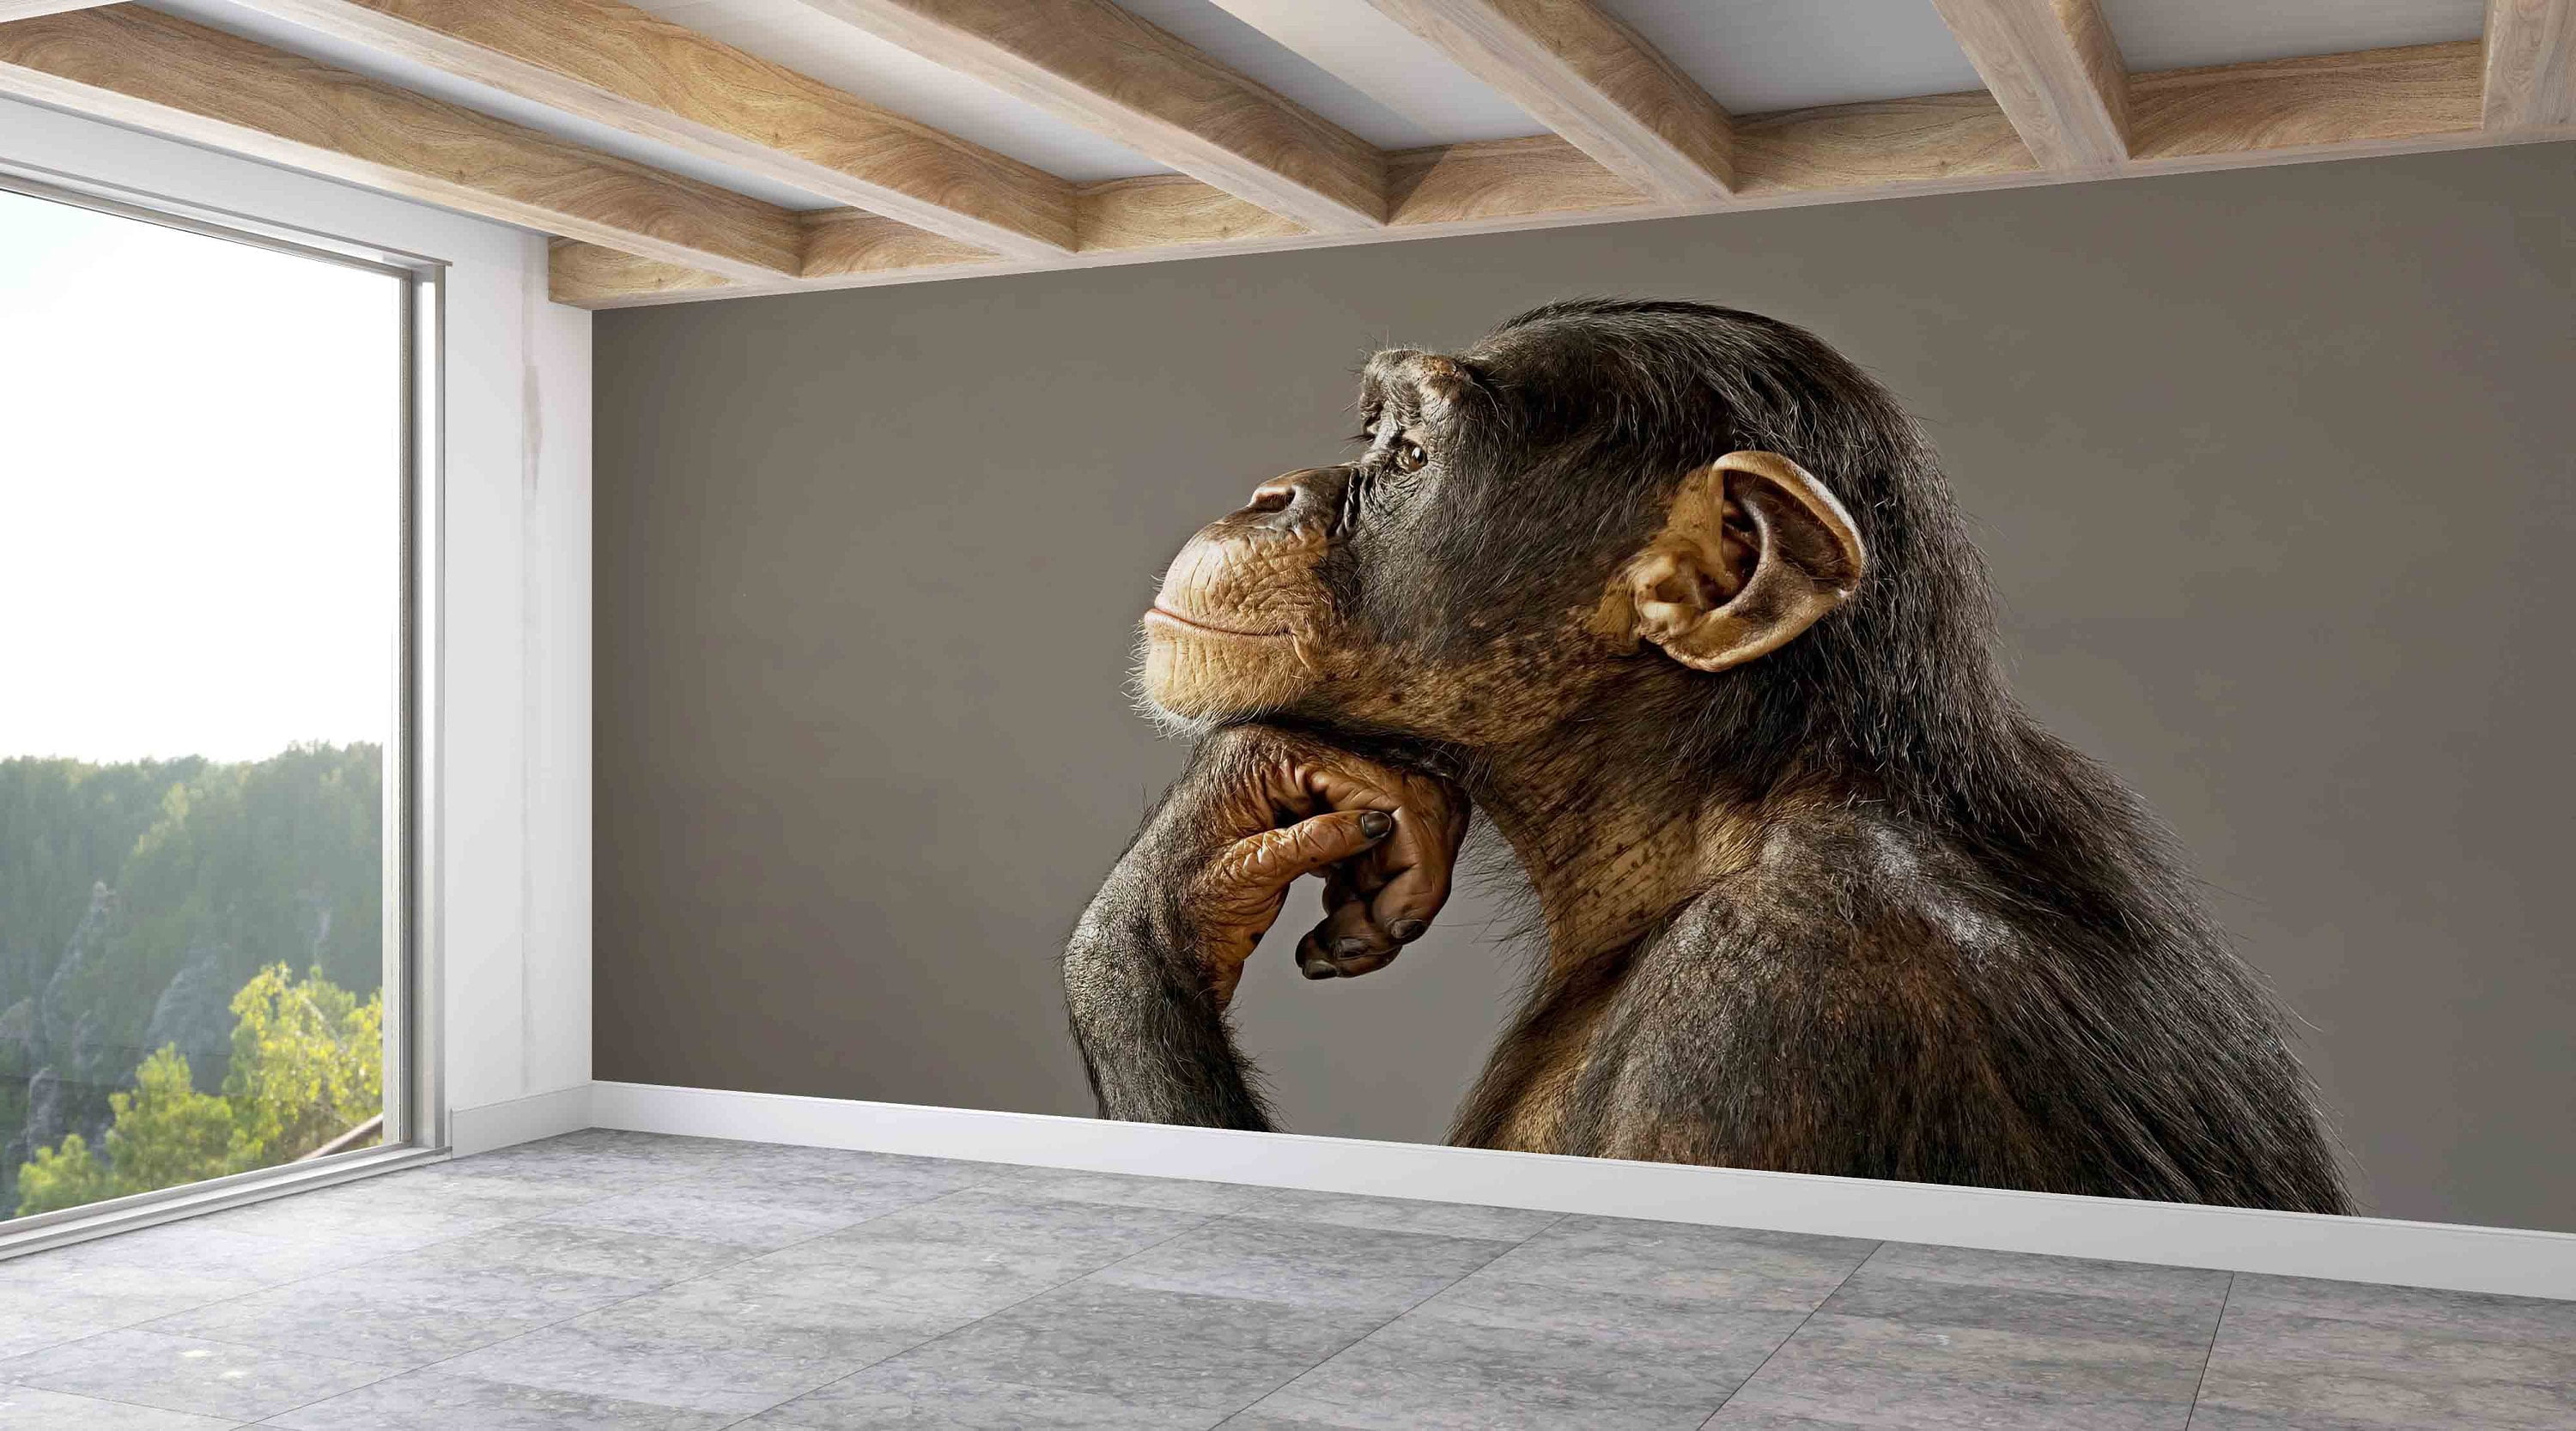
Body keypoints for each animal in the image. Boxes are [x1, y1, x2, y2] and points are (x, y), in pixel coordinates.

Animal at [1063, 299, 2351, 1213]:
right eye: (1372, 435)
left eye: (1412, 454)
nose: (1270, 491)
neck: (1715, 807)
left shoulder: (1773, 1013)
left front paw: (1176, 869)